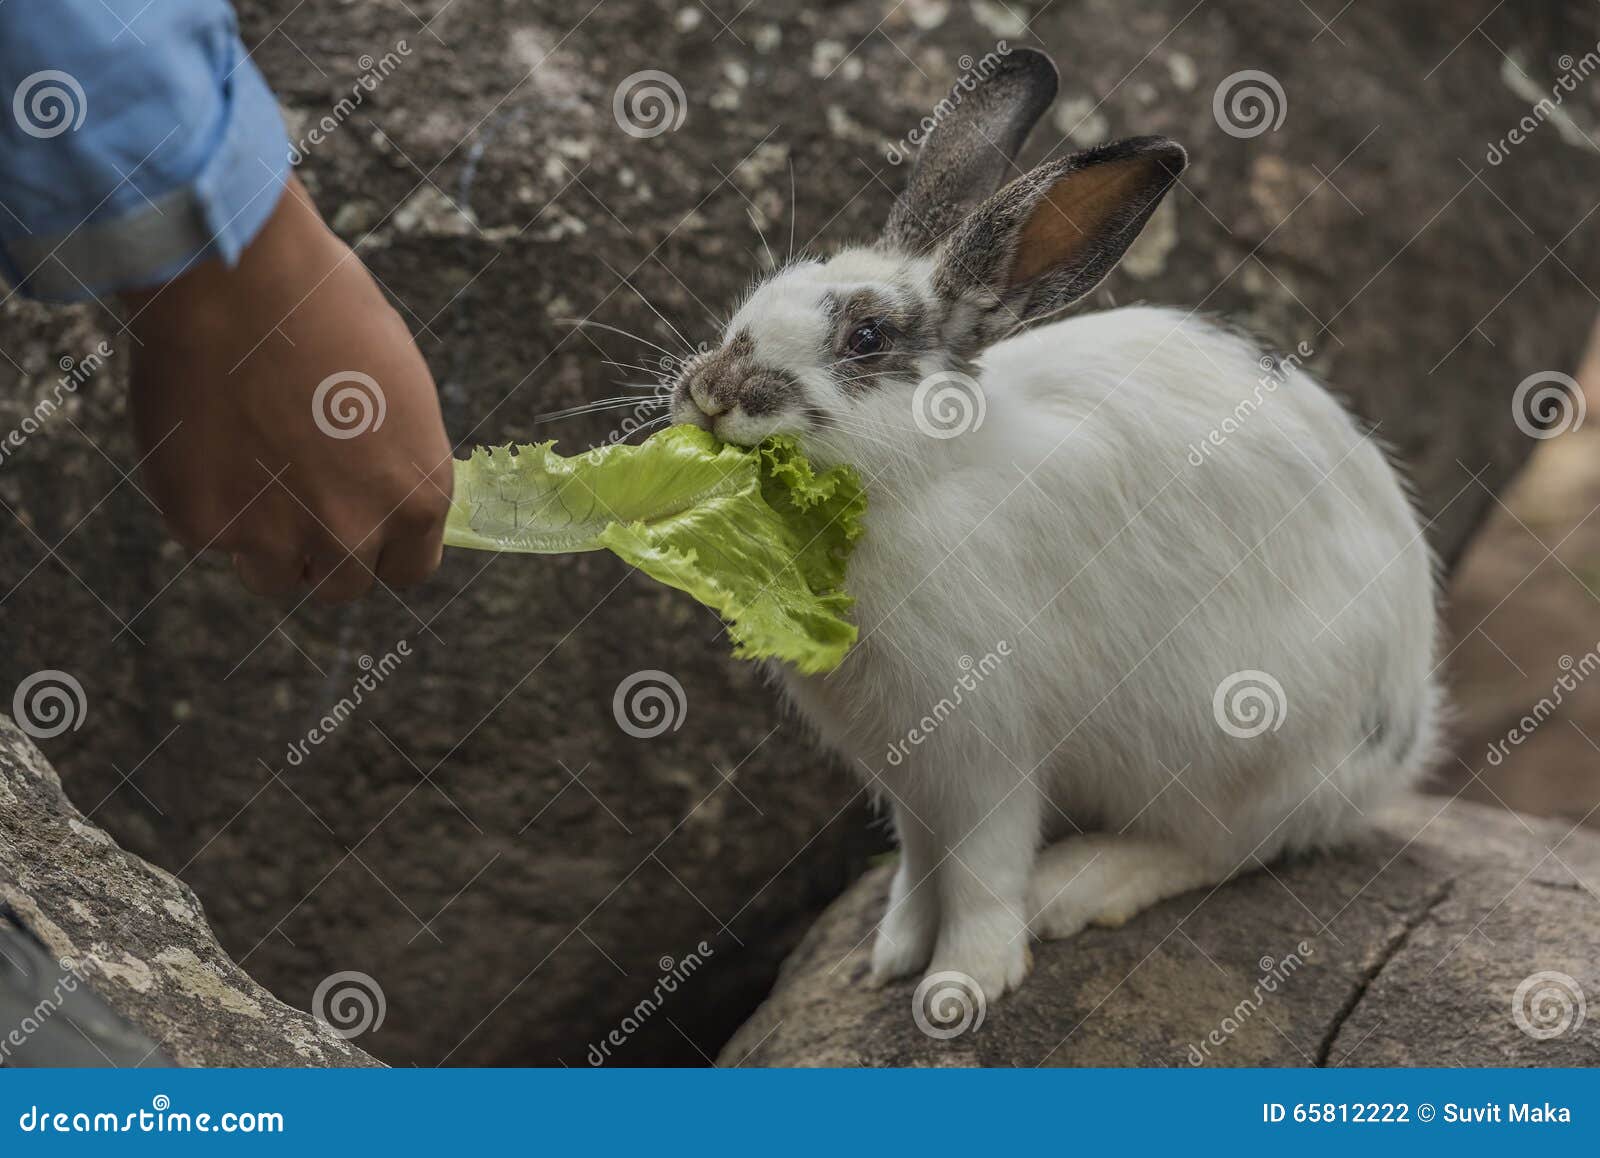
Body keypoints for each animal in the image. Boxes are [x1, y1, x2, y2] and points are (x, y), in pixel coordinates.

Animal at [668, 46, 1441, 1004]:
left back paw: (1080, 885)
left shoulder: (986, 748)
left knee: (1226, 847)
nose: (710, 392)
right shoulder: (908, 772)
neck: (923, 484)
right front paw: (888, 957)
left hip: (1242, 741)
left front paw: (961, 986)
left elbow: (981, 871)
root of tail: (1400, 744)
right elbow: (920, 866)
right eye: (755, 301)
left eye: (867, 338)